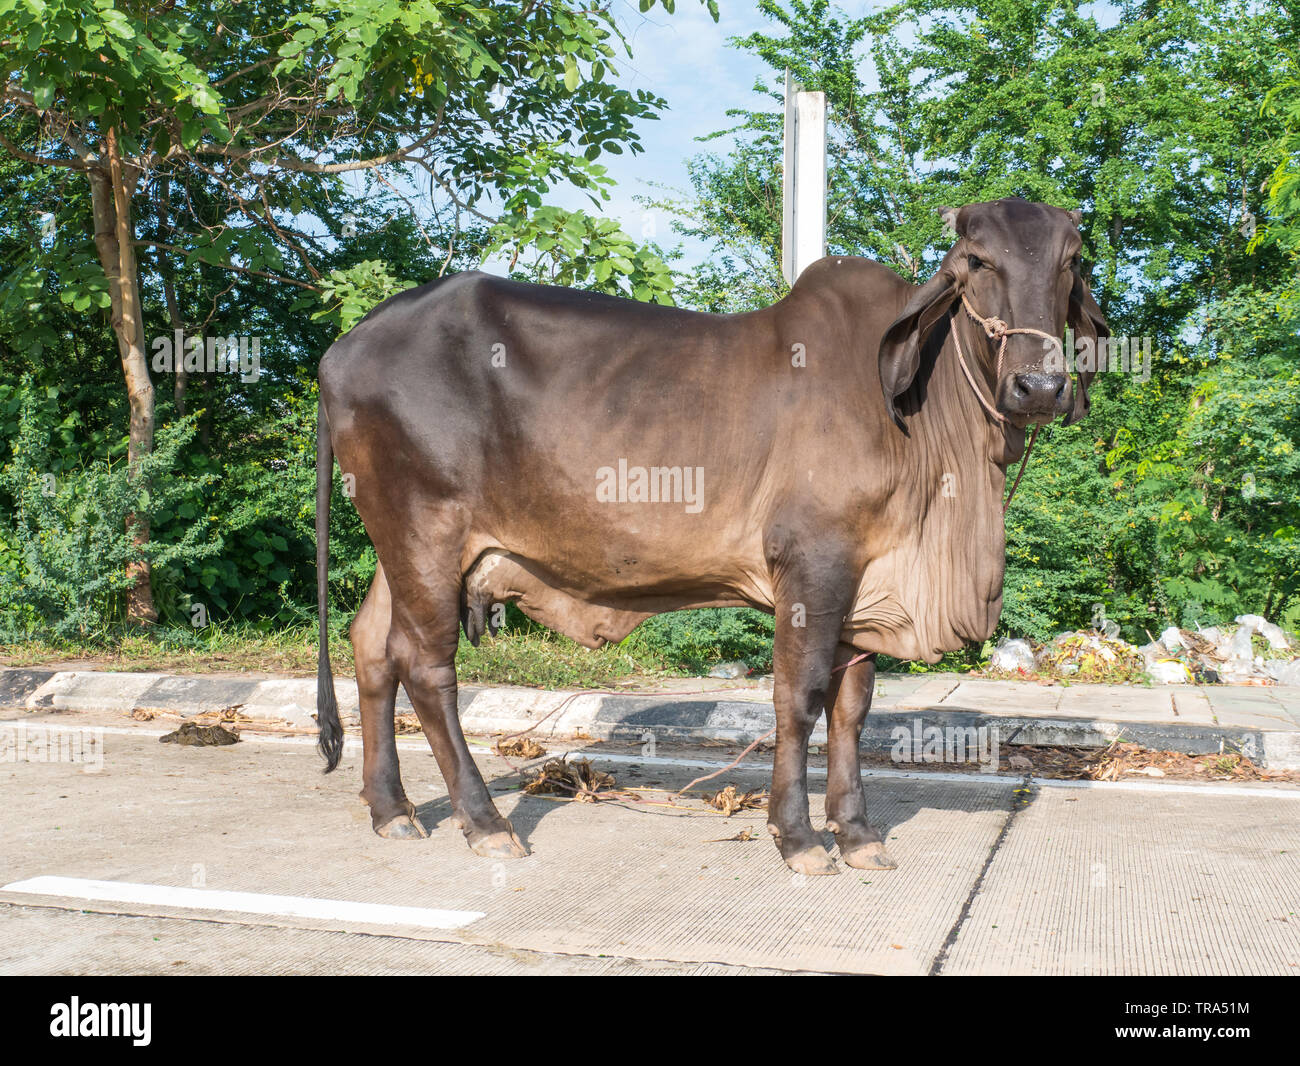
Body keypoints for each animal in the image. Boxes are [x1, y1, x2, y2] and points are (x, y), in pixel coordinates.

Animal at [314, 196, 1108, 876]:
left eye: (1071, 258)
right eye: (977, 259)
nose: (1038, 388)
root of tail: (341, 350)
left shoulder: (864, 577)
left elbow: (852, 709)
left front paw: (857, 835)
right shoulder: (812, 562)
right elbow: (800, 697)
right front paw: (799, 837)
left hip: (400, 543)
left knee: (372, 647)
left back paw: (391, 810)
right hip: (426, 528)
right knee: (426, 667)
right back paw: (484, 823)